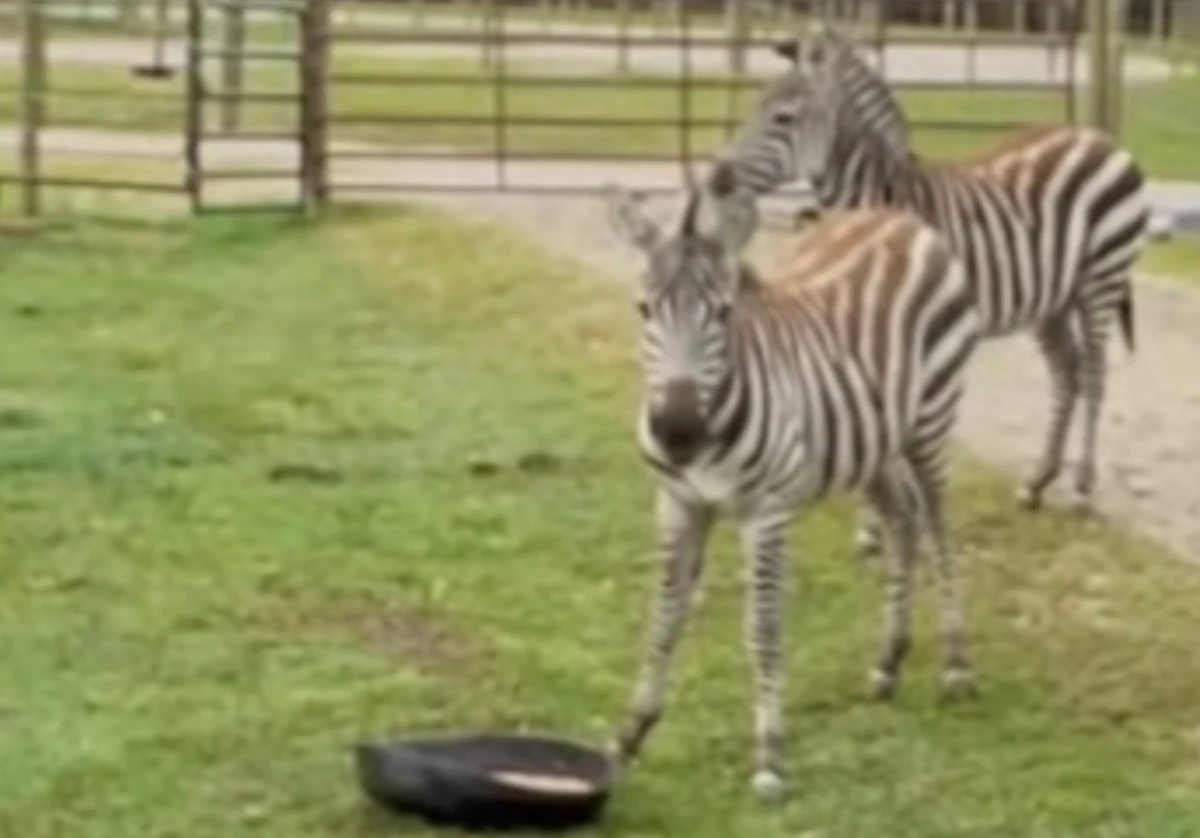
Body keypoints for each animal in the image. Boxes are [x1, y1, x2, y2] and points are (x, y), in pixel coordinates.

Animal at [603, 162, 982, 800]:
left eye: (723, 313)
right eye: (643, 309)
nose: (677, 431)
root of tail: (894, 218)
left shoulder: (767, 513)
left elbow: (762, 627)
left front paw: (770, 754)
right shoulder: (678, 502)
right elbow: (663, 617)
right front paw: (632, 733)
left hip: (930, 418)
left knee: (938, 529)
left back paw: (956, 665)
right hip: (869, 443)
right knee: (902, 521)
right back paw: (888, 661)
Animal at [719, 34, 1150, 549]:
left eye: (783, 117)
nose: (719, 180)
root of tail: (1098, 138)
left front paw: (882, 524)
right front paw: (878, 523)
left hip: (1100, 278)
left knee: (1096, 375)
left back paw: (1082, 488)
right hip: (1052, 300)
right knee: (1069, 375)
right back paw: (1037, 482)